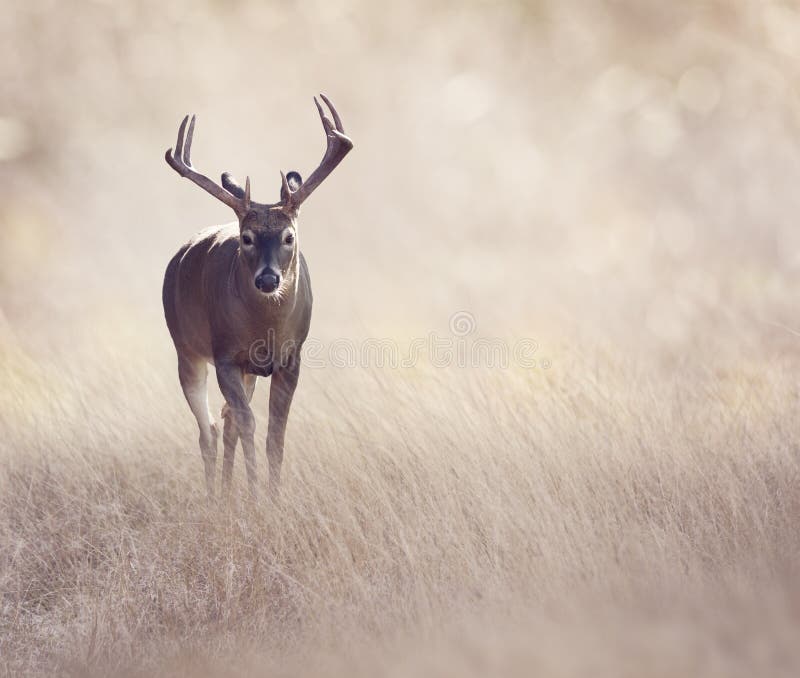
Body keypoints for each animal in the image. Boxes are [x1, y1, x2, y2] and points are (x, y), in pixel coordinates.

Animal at [162, 94, 353, 498]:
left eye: (289, 236)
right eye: (247, 237)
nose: (267, 279)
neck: (266, 329)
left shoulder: (291, 359)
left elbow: (274, 433)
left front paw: (273, 498)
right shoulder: (225, 356)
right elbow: (249, 424)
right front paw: (254, 497)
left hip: (246, 370)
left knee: (226, 422)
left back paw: (227, 493)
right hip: (186, 349)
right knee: (209, 430)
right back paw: (215, 497)